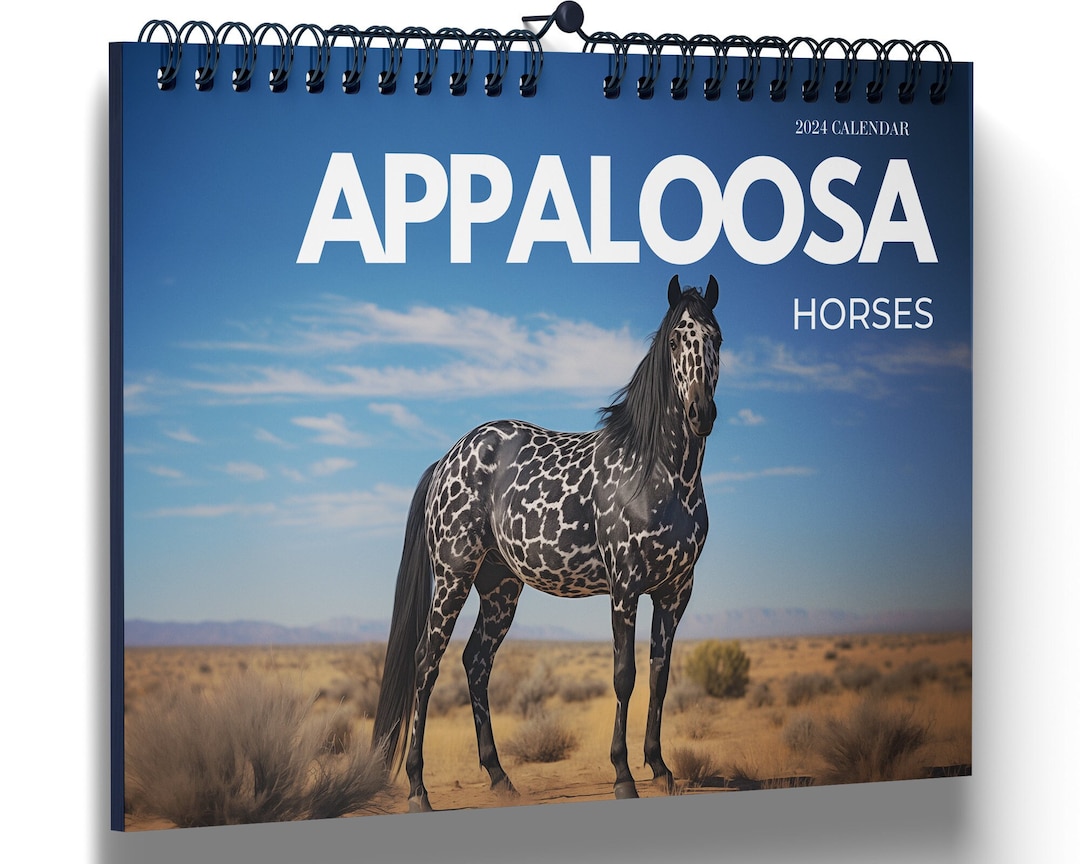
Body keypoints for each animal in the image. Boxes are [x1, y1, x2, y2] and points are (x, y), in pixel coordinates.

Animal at [371, 274, 722, 811]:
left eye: (717, 338)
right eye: (676, 341)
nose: (701, 412)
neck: (657, 472)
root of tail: (449, 458)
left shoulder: (675, 592)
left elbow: (660, 677)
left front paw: (660, 769)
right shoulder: (625, 587)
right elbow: (625, 675)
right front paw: (623, 776)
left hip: (500, 588)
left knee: (476, 663)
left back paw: (500, 778)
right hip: (453, 577)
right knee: (426, 663)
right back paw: (417, 789)